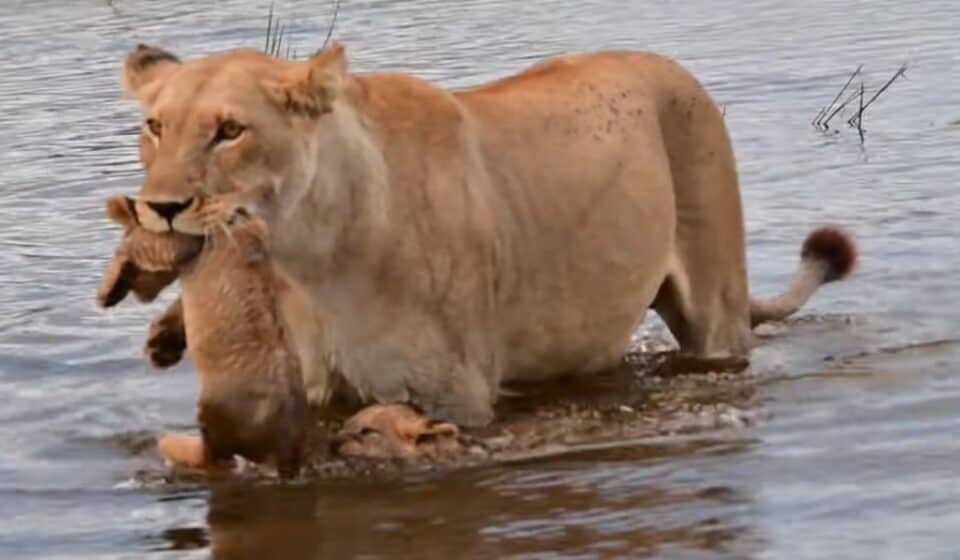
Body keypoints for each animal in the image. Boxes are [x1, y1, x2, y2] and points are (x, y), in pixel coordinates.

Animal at [97, 195, 308, 477]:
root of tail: (284, 455)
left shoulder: (183, 245)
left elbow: (135, 245)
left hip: (212, 413)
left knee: (212, 455)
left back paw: (169, 443)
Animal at [116, 43, 857, 430]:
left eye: (229, 130)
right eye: (155, 126)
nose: (160, 208)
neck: (308, 261)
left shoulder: (455, 397)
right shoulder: (322, 389)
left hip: (715, 313)